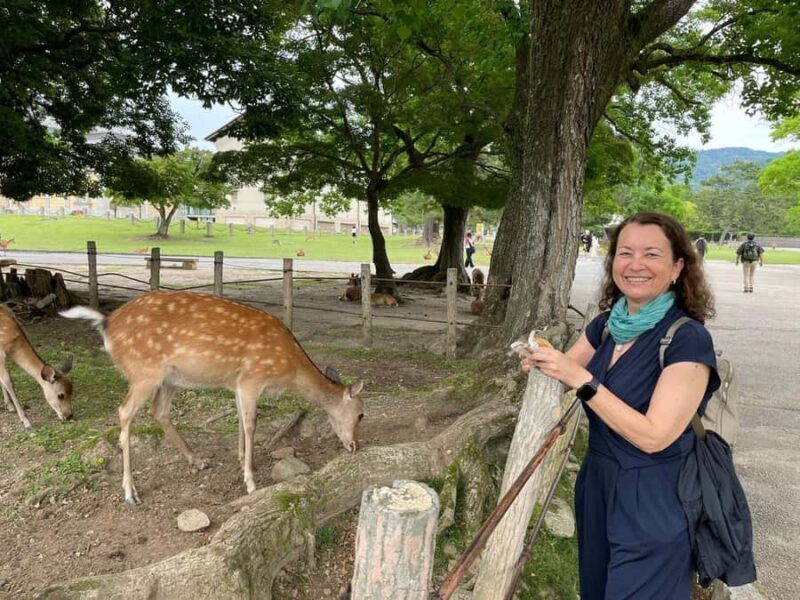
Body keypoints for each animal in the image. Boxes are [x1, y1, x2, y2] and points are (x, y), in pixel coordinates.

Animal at [61, 291, 365, 505]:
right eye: (362, 414)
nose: (355, 446)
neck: (288, 369)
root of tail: (106, 322)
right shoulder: (252, 378)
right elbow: (251, 424)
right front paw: (251, 481)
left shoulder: (237, 383)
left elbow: (241, 420)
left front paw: (242, 461)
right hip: (144, 372)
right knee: (125, 412)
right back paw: (130, 492)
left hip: (169, 378)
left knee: (158, 411)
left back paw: (198, 460)